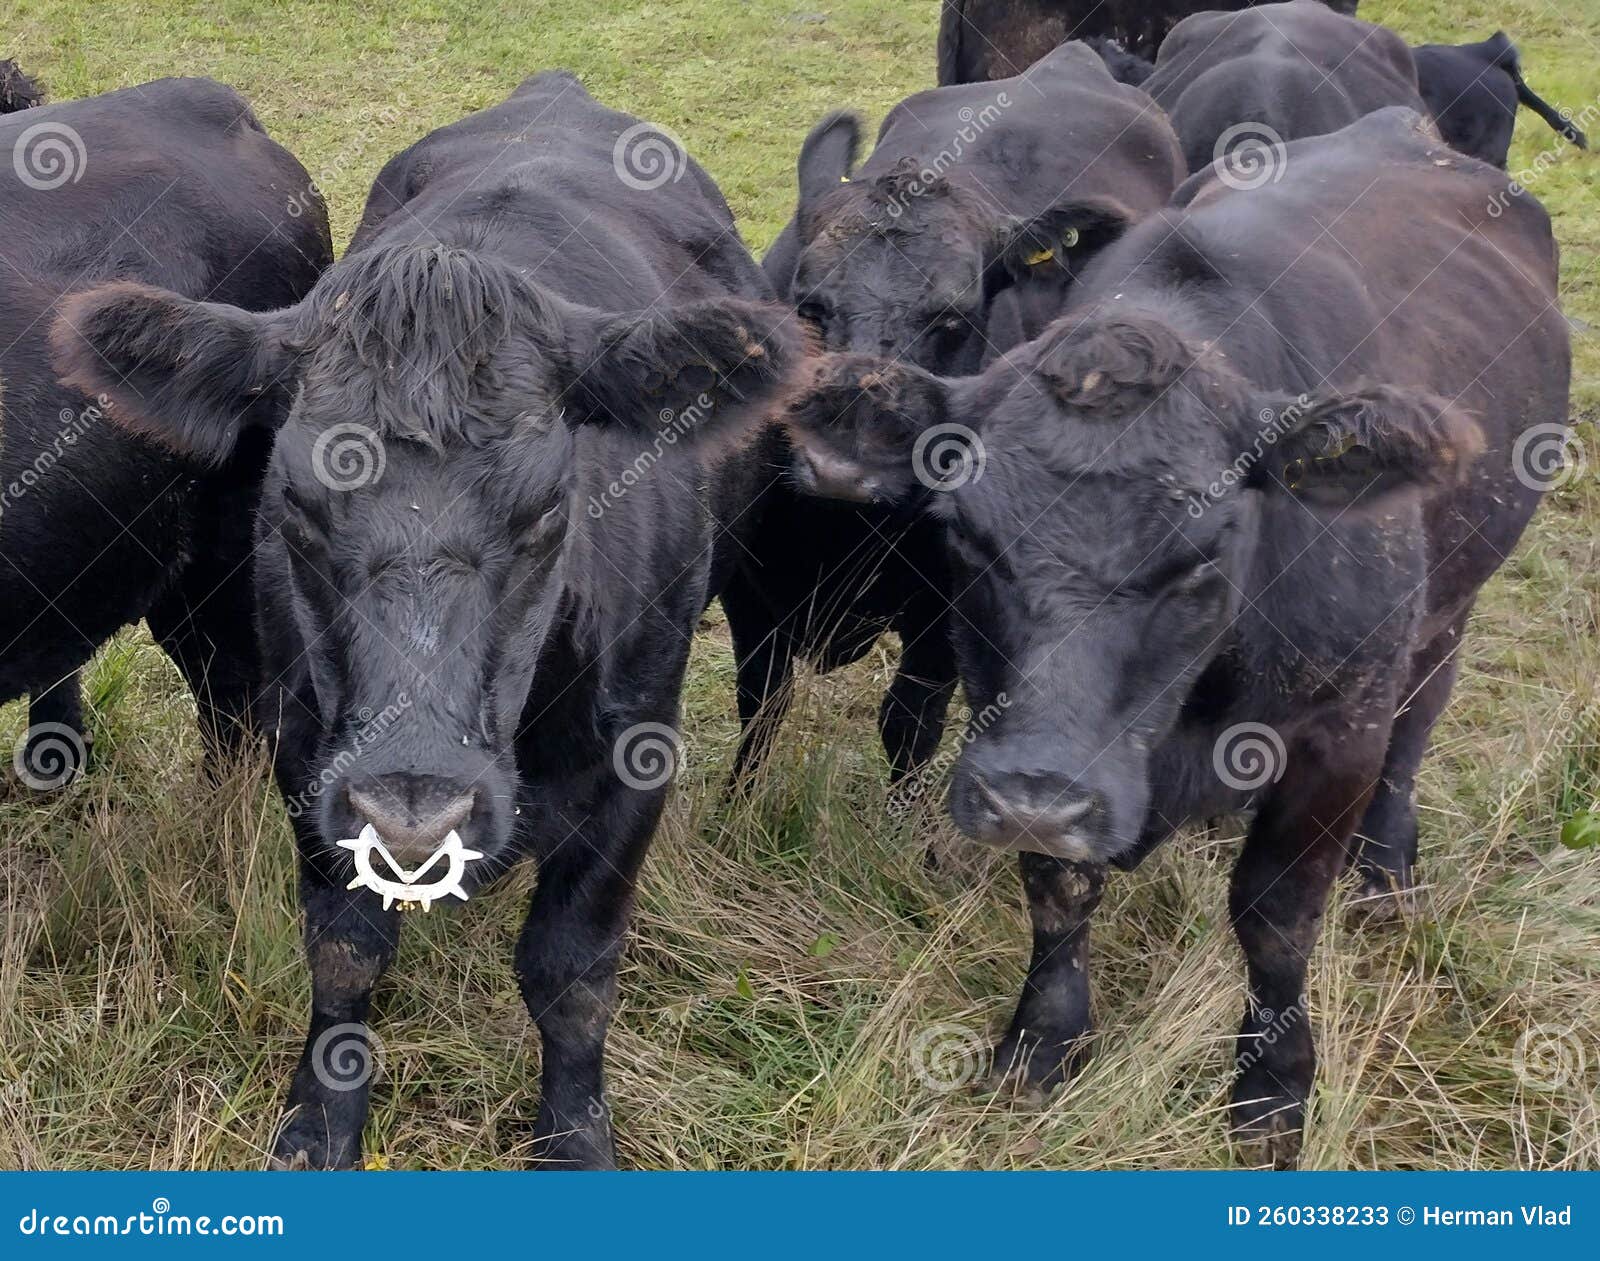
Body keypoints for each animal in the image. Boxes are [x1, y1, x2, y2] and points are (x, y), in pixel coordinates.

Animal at [54, 71, 801, 1170]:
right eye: (295, 506)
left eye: (549, 510)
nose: (417, 811)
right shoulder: (310, 748)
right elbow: (343, 951)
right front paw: (319, 1124)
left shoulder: (642, 752)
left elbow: (572, 969)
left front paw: (575, 1138)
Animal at [726, 42, 1184, 794]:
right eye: (810, 303)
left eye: (952, 318)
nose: (839, 468)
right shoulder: (751, 588)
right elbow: (761, 701)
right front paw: (737, 804)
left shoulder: (946, 615)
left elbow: (909, 725)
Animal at [780, 108, 1569, 1164]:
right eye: (967, 535)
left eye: (1206, 551)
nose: (1034, 797)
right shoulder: (1009, 719)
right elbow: (1059, 888)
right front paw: (1041, 1043)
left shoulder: (1338, 729)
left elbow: (1276, 915)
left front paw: (1272, 1089)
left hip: (1450, 604)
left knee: (1422, 713)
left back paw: (1389, 866)